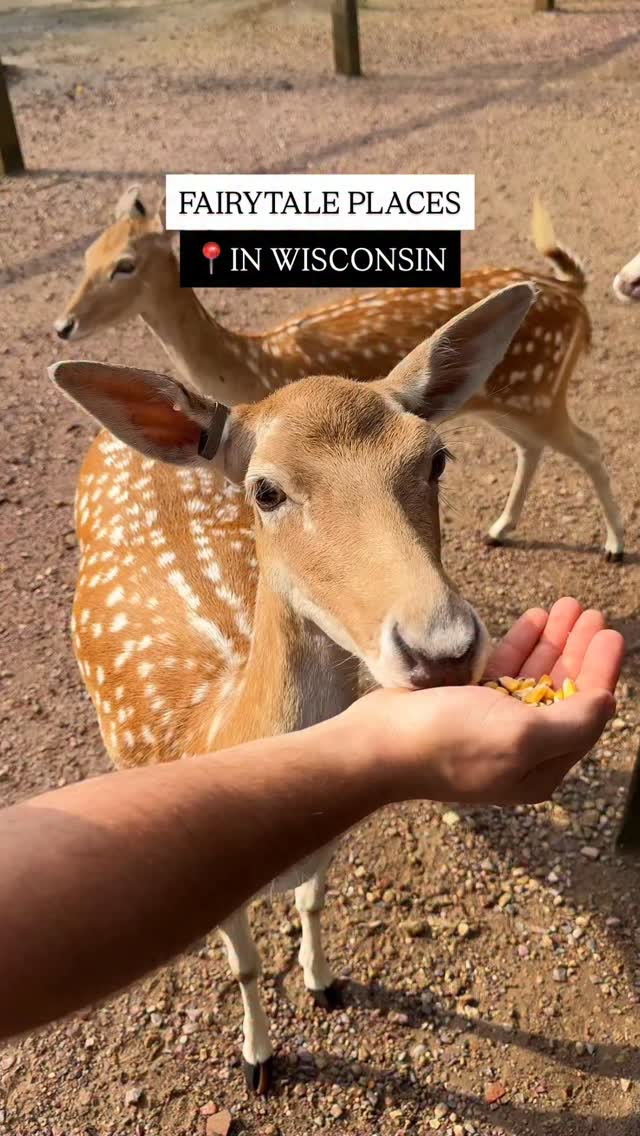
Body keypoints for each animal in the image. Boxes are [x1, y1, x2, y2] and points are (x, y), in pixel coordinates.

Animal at [50, 282, 535, 1094]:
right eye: (267, 490)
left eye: (437, 458)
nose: (441, 649)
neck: (217, 724)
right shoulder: (211, 891)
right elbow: (245, 968)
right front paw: (259, 1060)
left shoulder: (331, 846)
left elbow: (314, 901)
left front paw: (324, 982)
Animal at [53, 187, 624, 561]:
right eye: (87, 254)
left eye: (125, 265)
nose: (63, 324)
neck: (253, 364)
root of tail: (573, 293)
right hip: (508, 397)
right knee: (532, 447)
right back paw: (501, 528)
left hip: (541, 392)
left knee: (590, 445)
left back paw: (615, 545)